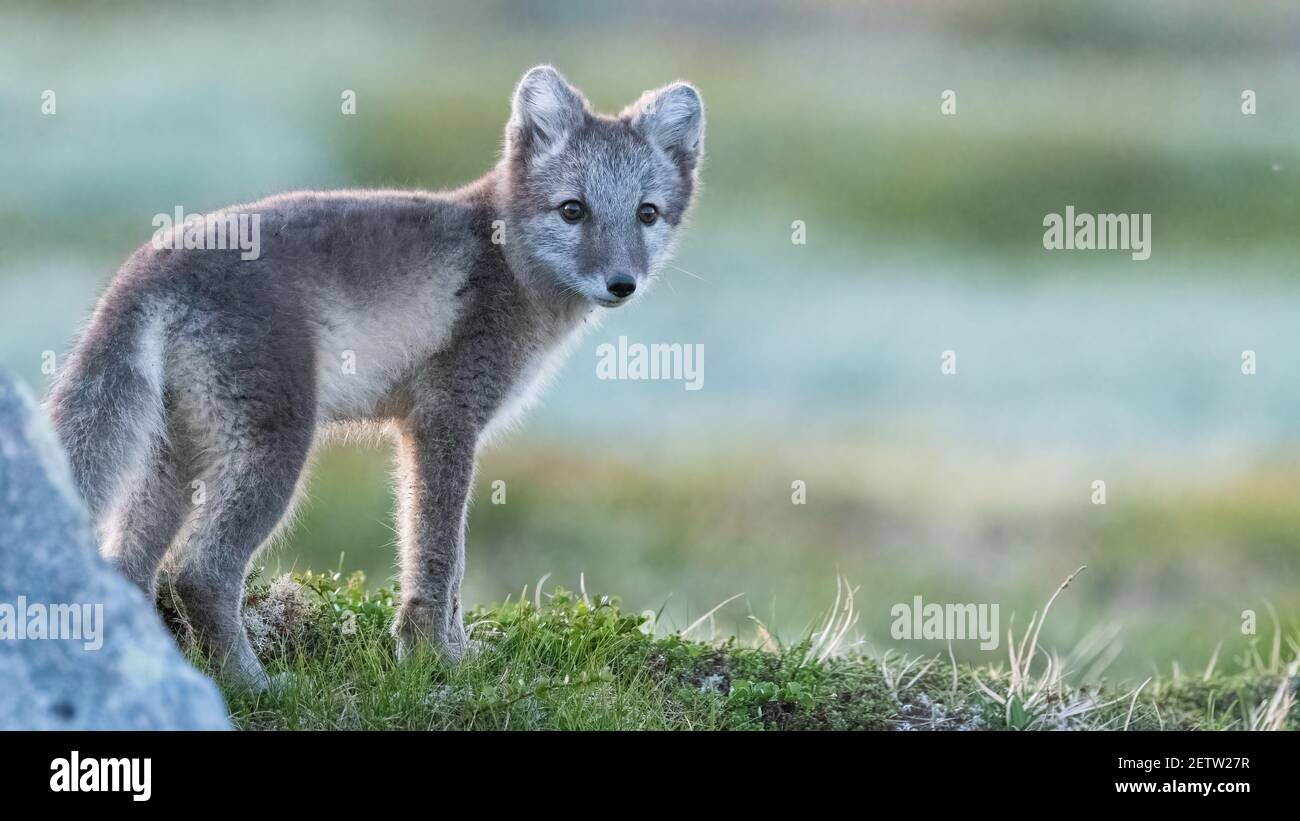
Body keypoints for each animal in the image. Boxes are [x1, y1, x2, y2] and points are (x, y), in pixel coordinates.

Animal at [46, 66, 705, 689]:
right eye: (573, 210)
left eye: (647, 214)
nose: (622, 283)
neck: (507, 258)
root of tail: (140, 271)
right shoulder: (444, 420)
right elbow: (440, 556)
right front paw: (434, 659)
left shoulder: (424, 428)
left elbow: (449, 565)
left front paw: (458, 653)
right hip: (271, 449)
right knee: (199, 572)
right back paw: (254, 683)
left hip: (176, 453)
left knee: (128, 565)